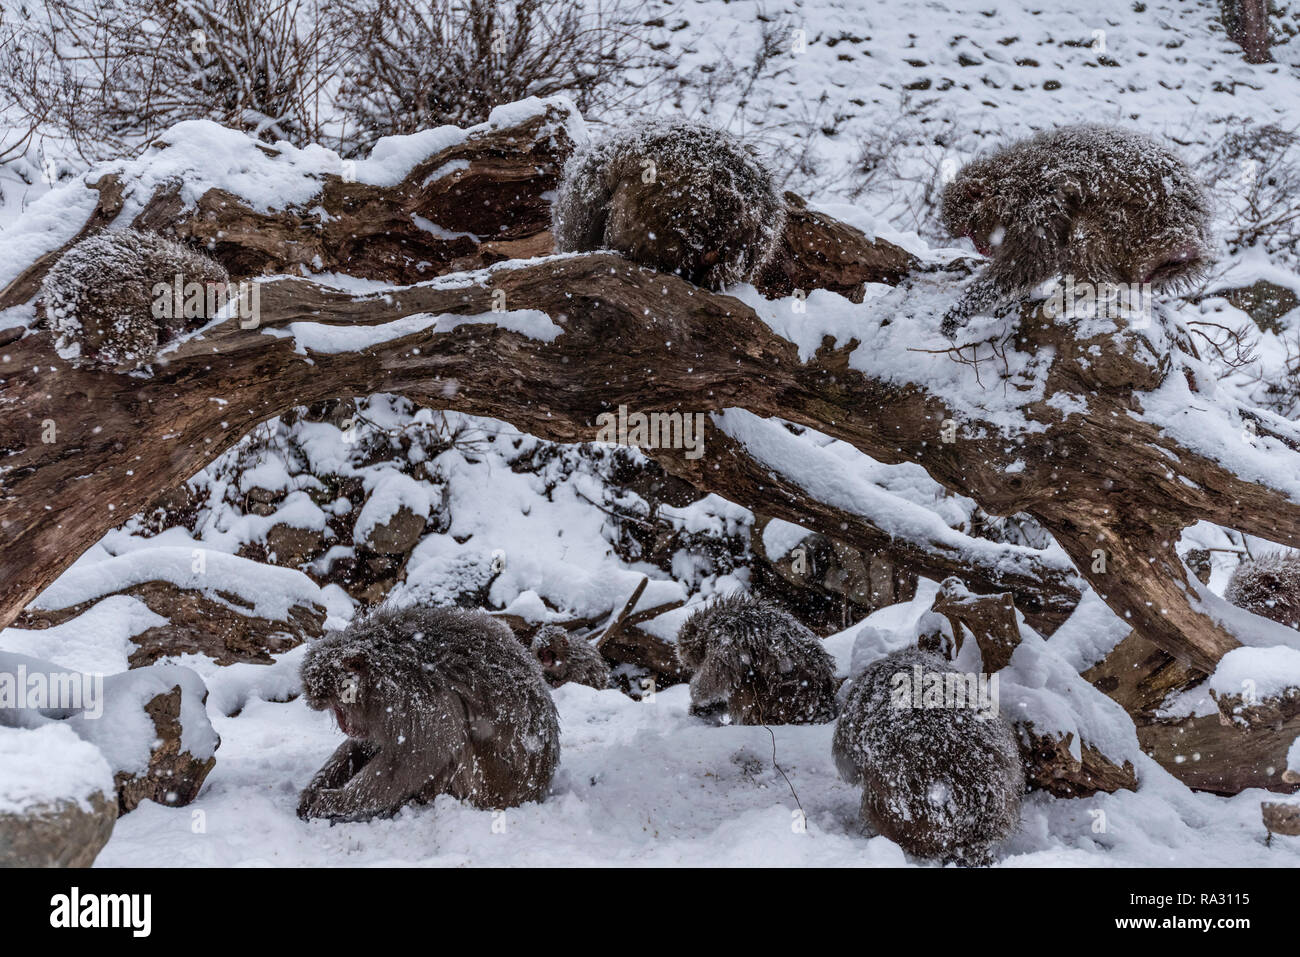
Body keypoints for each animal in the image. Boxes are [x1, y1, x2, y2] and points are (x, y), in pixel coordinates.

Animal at [297, 604, 560, 822]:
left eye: (340, 707)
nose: (344, 726)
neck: (381, 672)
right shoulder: (381, 712)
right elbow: (370, 744)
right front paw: (313, 790)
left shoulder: (415, 699)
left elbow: (420, 755)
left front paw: (332, 802)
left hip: (488, 788)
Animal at [675, 593, 838, 725]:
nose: (685, 663)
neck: (713, 622)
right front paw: (704, 707)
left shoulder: (727, 638)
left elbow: (716, 677)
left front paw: (697, 693)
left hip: (775, 705)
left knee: (744, 685)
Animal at [938, 124, 1213, 339]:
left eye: (971, 230)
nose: (981, 248)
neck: (1010, 183)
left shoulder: (1040, 205)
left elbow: (1031, 262)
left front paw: (961, 310)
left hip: (1139, 236)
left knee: (1086, 230)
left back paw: (1089, 290)